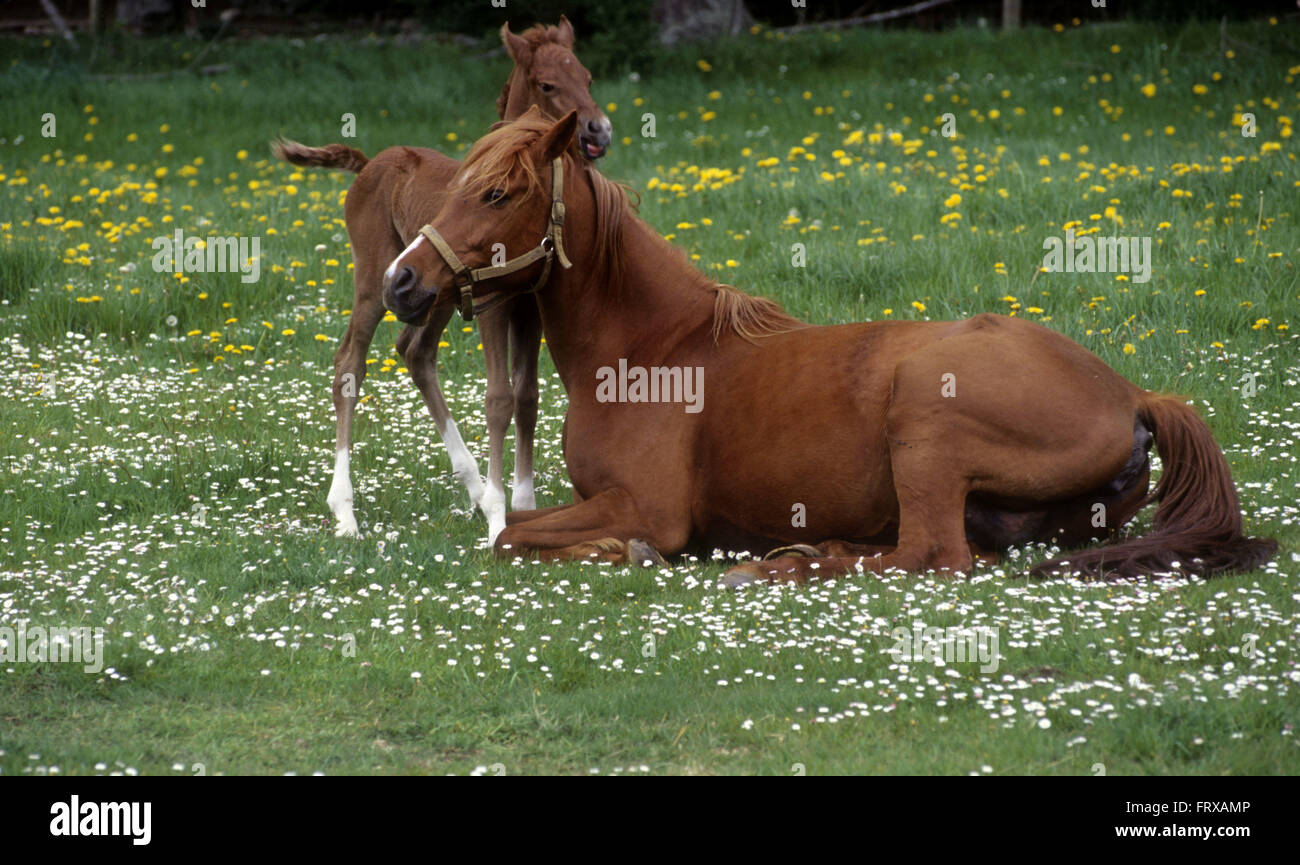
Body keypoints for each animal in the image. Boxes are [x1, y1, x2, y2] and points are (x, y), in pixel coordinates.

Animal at [272, 17, 612, 542]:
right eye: (547, 85)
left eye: (588, 78)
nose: (598, 130)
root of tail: (369, 163)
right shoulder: (493, 305)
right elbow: (499, 398)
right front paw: (499, 520)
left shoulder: (529, 310)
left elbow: (528, 397)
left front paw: (522, 505)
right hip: (378, 282)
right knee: (350, 362)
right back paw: (346, 511)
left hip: (430, 298)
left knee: (415, 352)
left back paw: (472, 487)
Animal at [380, 111, 1278, 585]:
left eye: (499, 192)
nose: (401, 281)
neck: (654, 350)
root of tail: (1136, 397)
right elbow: (515, 523)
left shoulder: (652, 509)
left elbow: (512, 535)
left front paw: (615, 549)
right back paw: (806, 548)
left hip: (926, 426)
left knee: (932, 554)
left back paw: (781, 562)